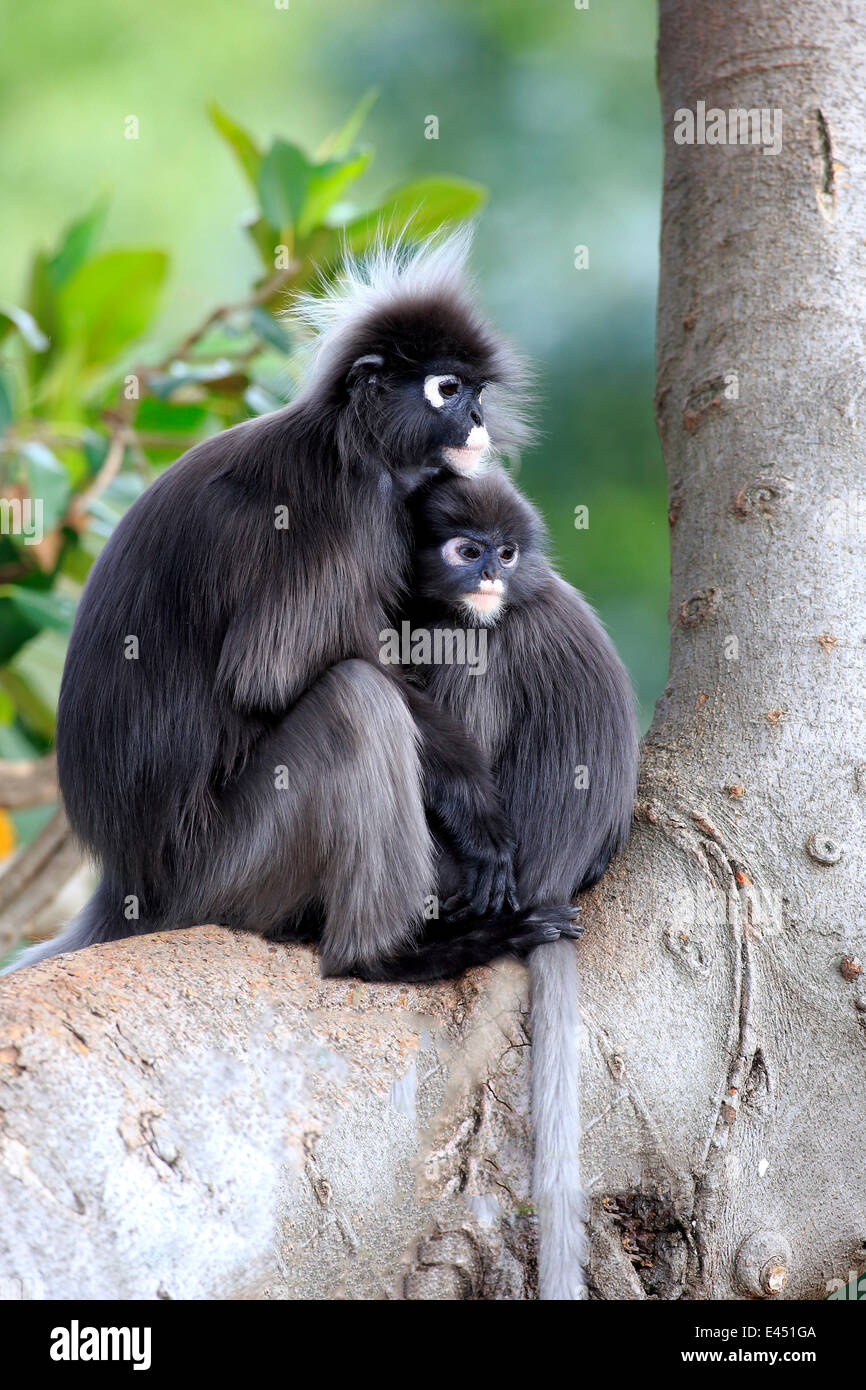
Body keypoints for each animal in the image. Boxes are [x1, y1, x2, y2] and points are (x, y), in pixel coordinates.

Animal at [3, 229, 578, 979]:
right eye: (447, 389)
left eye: (477, 392)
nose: (478, 417)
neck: (352, 445)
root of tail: (127, 887)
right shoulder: (343, 513)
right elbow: (269, 676)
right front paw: (473, 804)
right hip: (224, 870)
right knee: (355, 700)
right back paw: (388, 957)